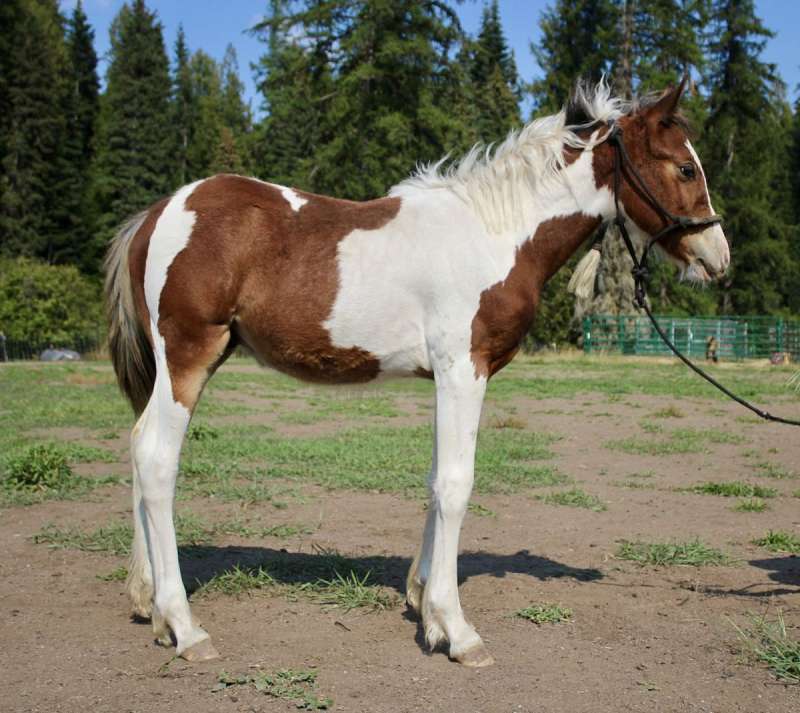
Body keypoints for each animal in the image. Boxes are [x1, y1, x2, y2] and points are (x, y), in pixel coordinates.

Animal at [104, 77, 729, 667]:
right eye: (684, 167)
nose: (718, 257)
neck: (495, 235)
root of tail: (156, 214)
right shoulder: (463, 370)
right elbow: (456, 484)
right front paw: (456, 630)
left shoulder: (447, 379)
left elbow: (434, 479)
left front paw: (422, 600)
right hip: (189, 356)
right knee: (157, 458)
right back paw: (184, 626)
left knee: (136, 444)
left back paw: (148, 603)